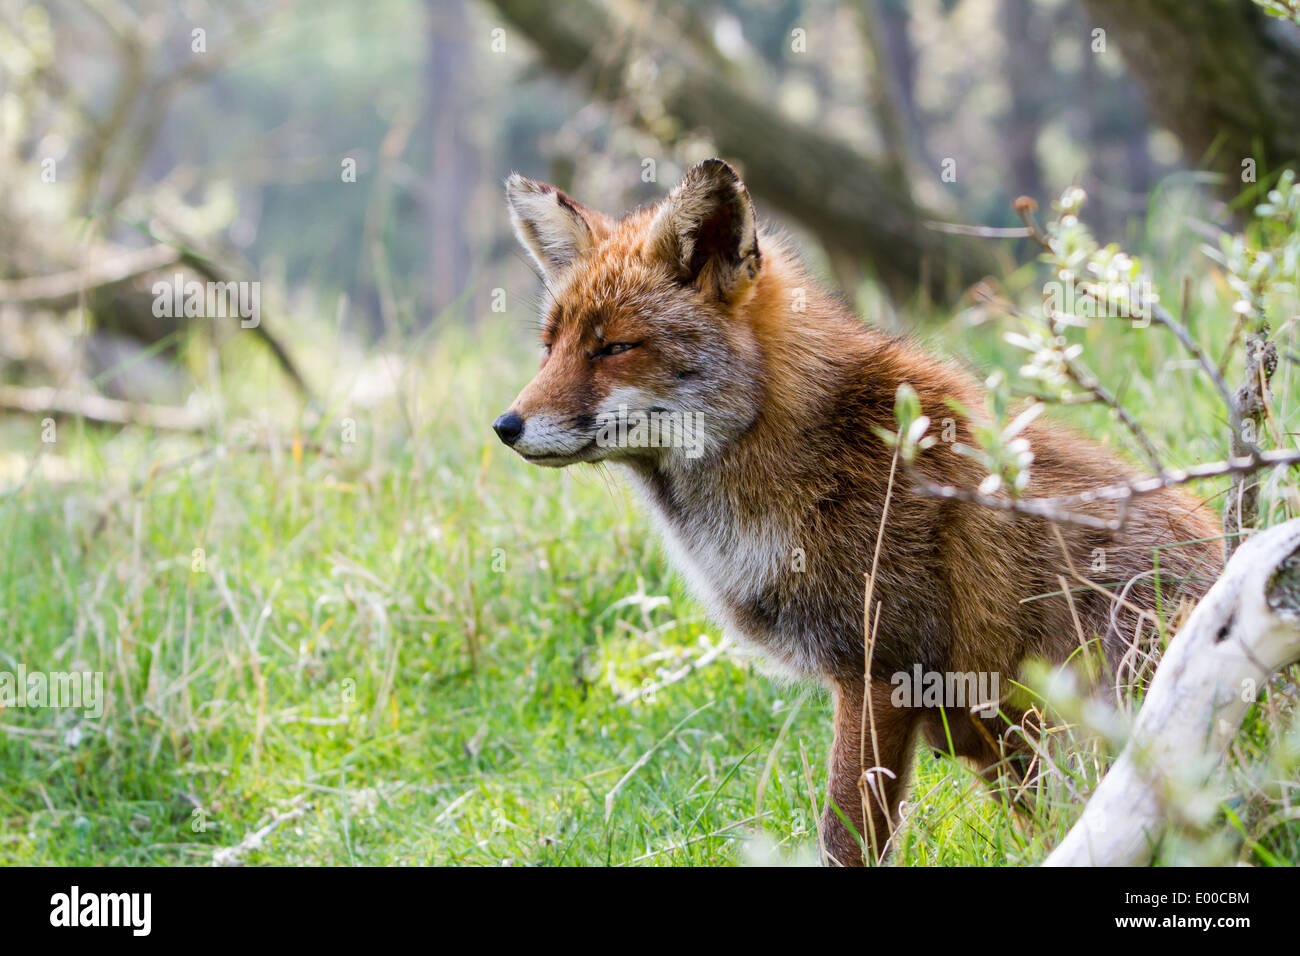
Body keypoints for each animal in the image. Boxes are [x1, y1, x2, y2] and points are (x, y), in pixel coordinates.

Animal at [493, 158, 1223, 865]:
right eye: (550, 346)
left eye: (613, 347)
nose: (506, 426)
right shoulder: (964, 713)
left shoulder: (884, 669)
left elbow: (847, 837)